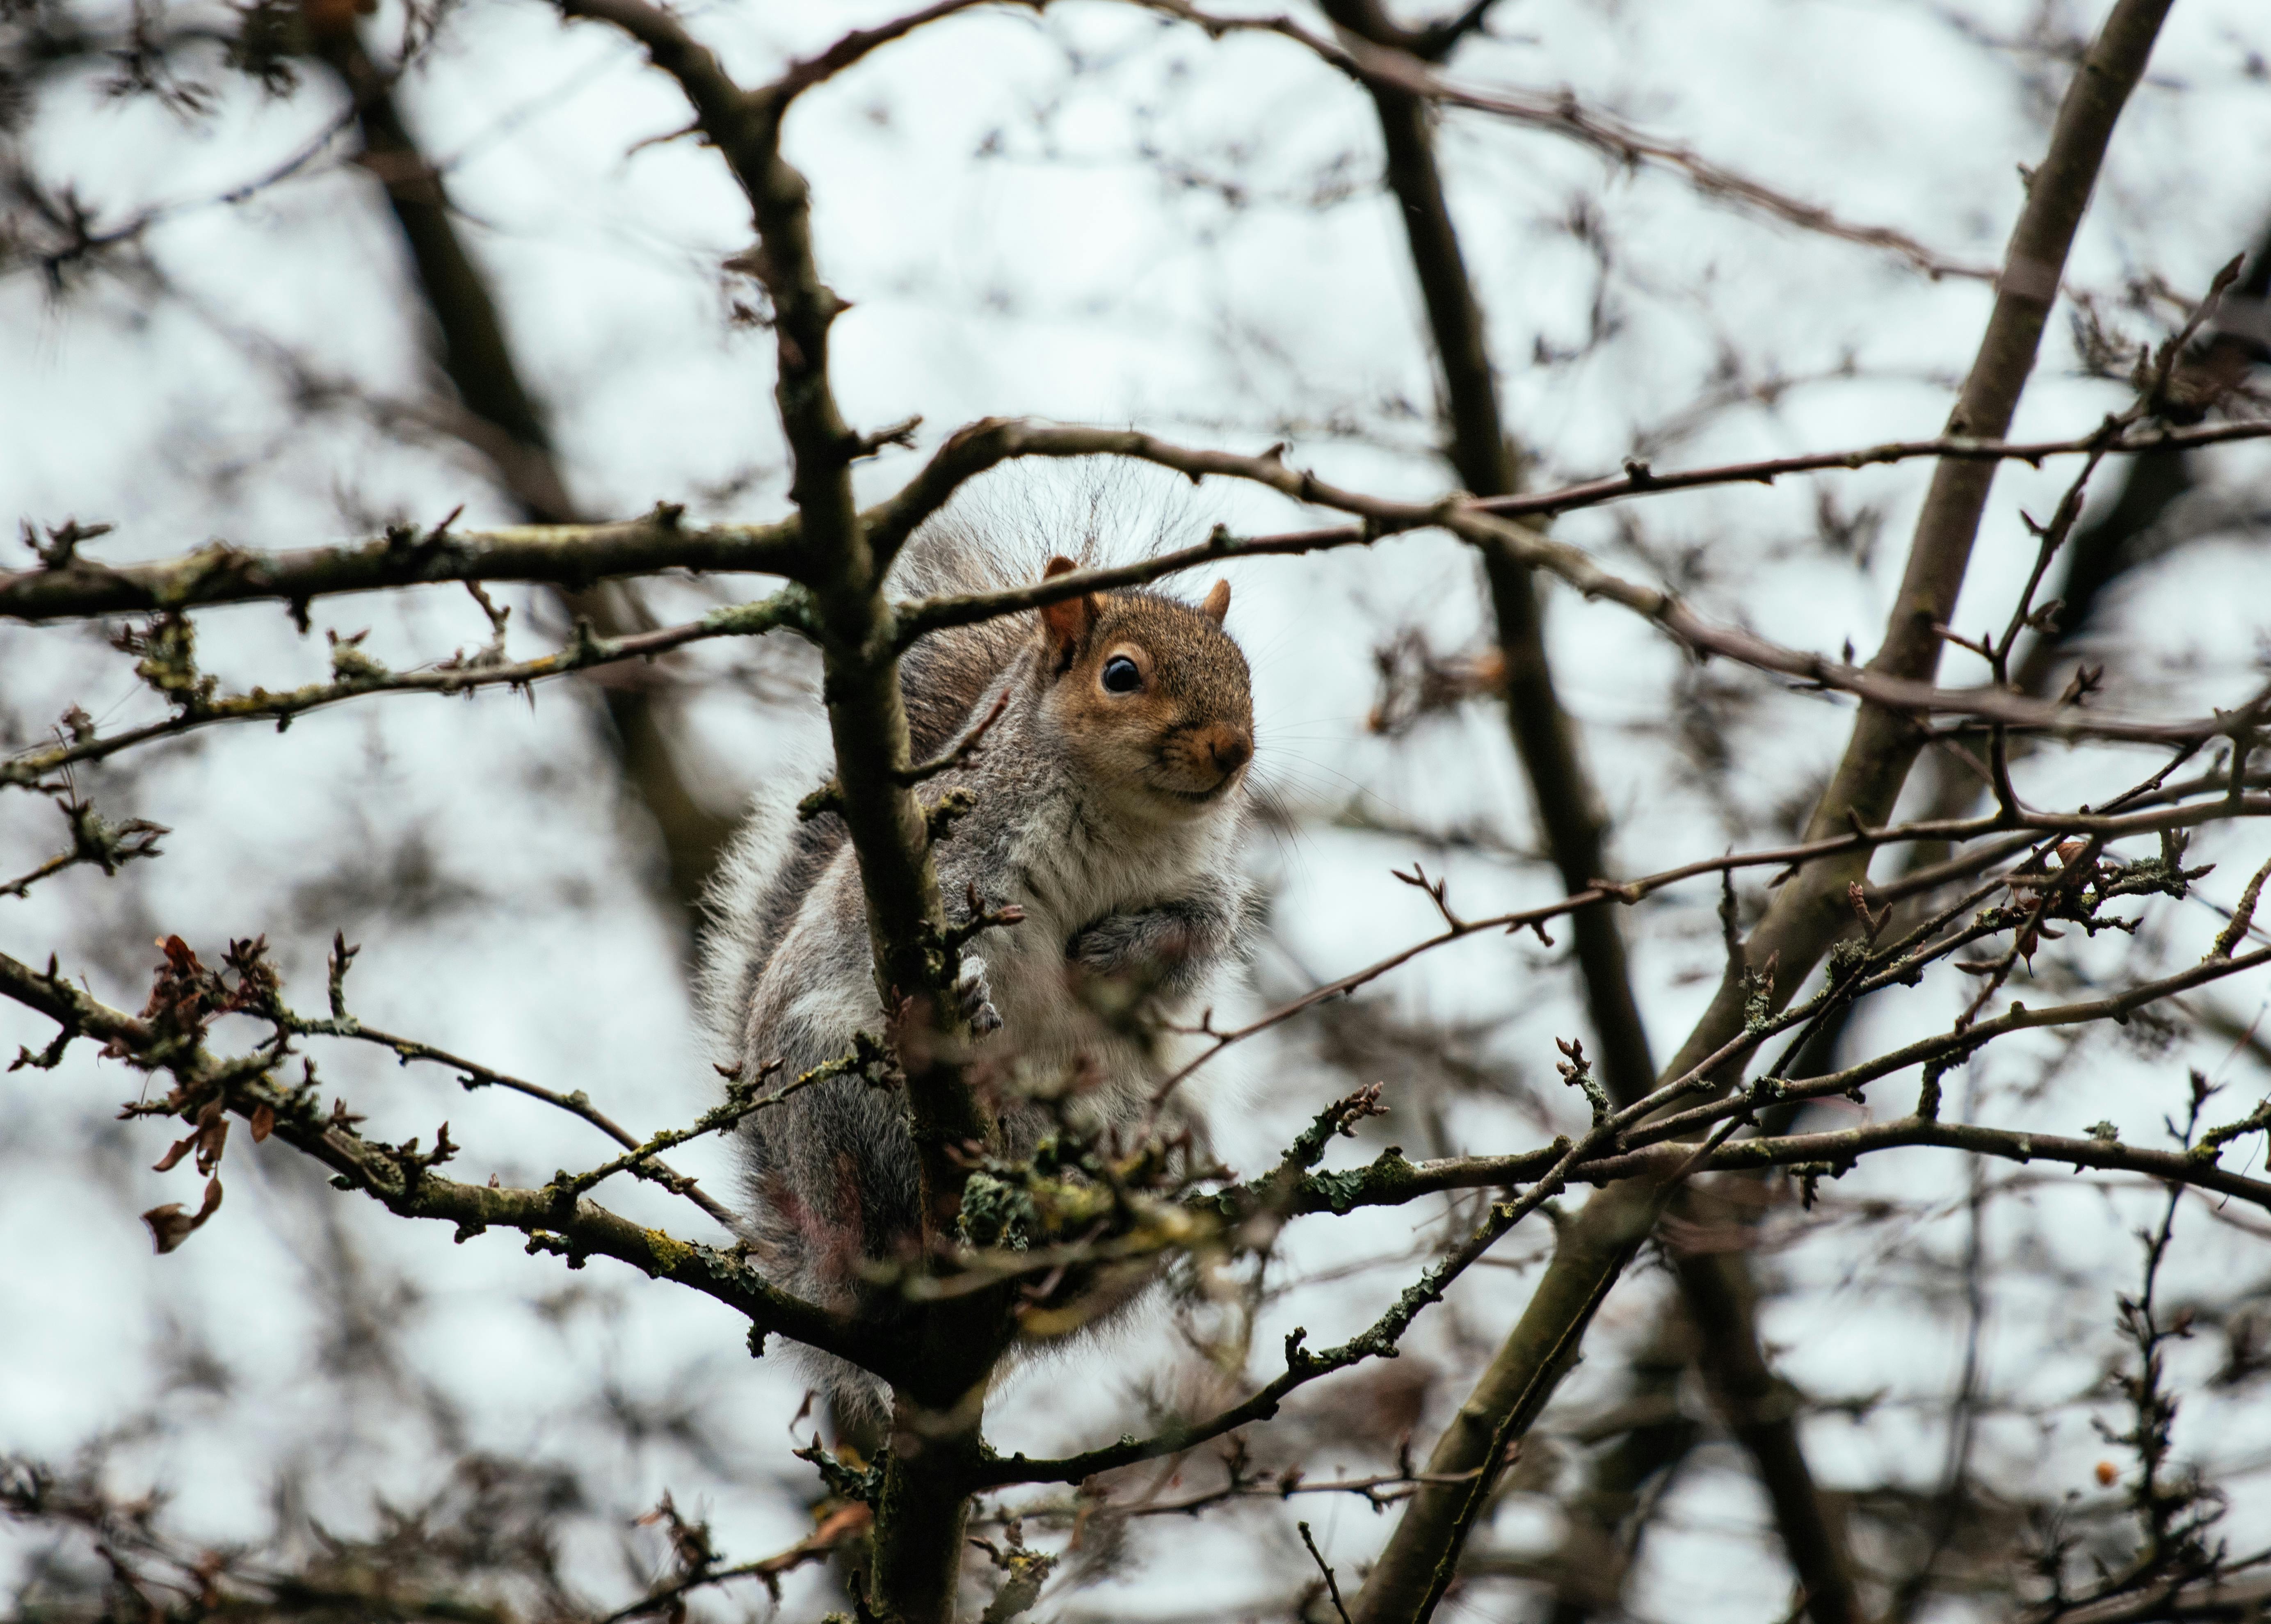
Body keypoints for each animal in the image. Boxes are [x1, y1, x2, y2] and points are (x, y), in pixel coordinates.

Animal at [698, 523, 1259, 1412]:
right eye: (1121, 673)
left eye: (1244, 672)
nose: (1233, 748)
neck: (1125, 818)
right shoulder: (943, 870)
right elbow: (912, 948)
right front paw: (968, 993)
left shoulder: (1205, 886)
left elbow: (1198, 941)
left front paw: (1112, 950)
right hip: (843, 1099)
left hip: (1148, 1119)